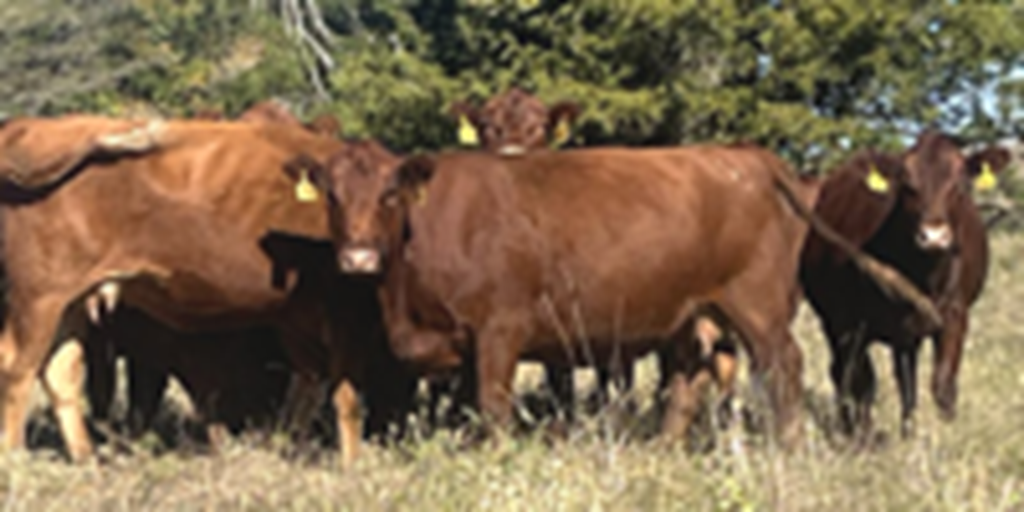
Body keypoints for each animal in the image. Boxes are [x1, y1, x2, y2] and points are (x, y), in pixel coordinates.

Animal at [0, 115, 413, 464]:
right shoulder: (344, 315)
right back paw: (14, 461)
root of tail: (22, 127)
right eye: (334, 199)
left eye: (388, 196)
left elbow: (308, 389)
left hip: (68, 302)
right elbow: (345, 394)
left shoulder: (298, 319)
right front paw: (351, 462)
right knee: (17, 369)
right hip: (39, 299)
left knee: (59, 371)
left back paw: (86, 459)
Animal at [286, 140, 939, 447]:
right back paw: (665, 450)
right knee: (687, 381)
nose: (358, 257)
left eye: (390, 194)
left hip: (759, 308)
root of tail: (746, 156)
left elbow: (493, 409)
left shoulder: (500, 330)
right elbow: (461, 409)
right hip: (691, 316)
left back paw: (791, 445)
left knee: (783, 367)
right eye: (332, 197)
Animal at [799, 131, 1010, 440]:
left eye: (961, 183)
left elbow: (942, 384)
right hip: (833, 320)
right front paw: (862, 440)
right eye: (908, 185)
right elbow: (861, 382)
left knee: (904, 379)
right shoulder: (850, 323)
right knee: (843, 373)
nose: (933, 236)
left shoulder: (955, 315)